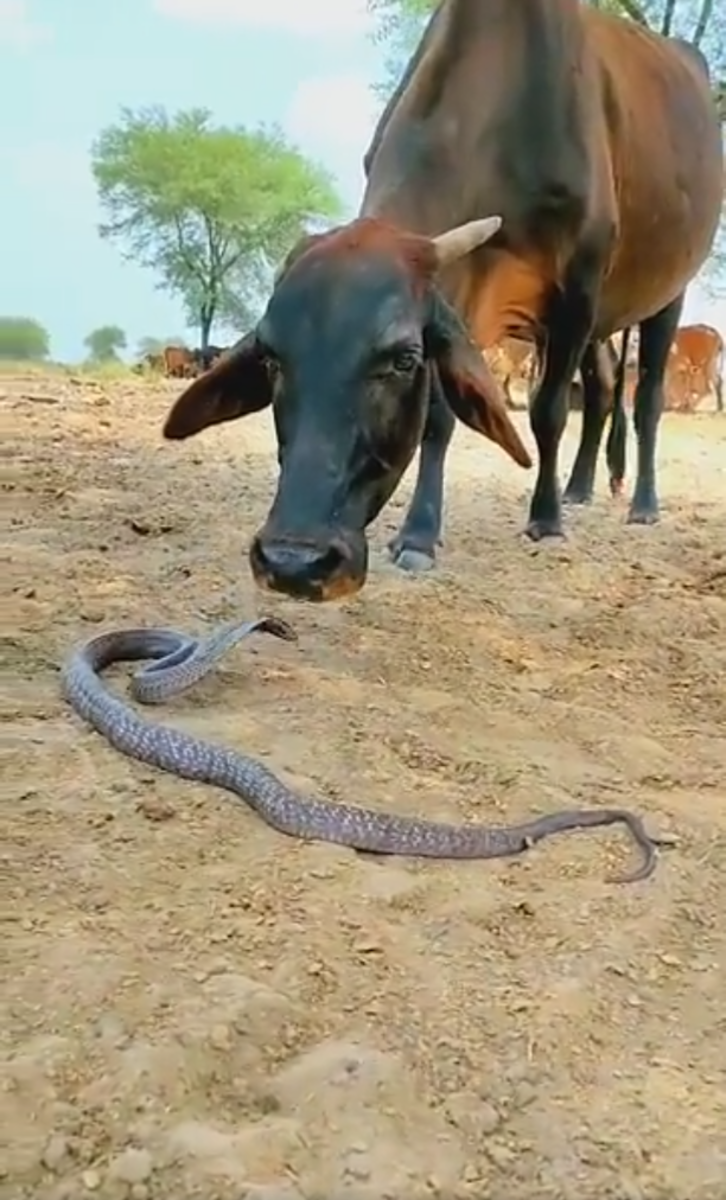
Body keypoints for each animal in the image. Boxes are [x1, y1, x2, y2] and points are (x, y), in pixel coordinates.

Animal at [161, 0, 723, 603]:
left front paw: (545, 519)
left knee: (646, 399)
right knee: (600, 389)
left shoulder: (577, 292)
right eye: (271, 358)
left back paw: (640, 504)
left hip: (666, 298)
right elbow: (439, 418)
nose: (293, 560)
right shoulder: (463, 301)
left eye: (402, 359)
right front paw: (418, 535)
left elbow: (548, 410)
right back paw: (579, 488)